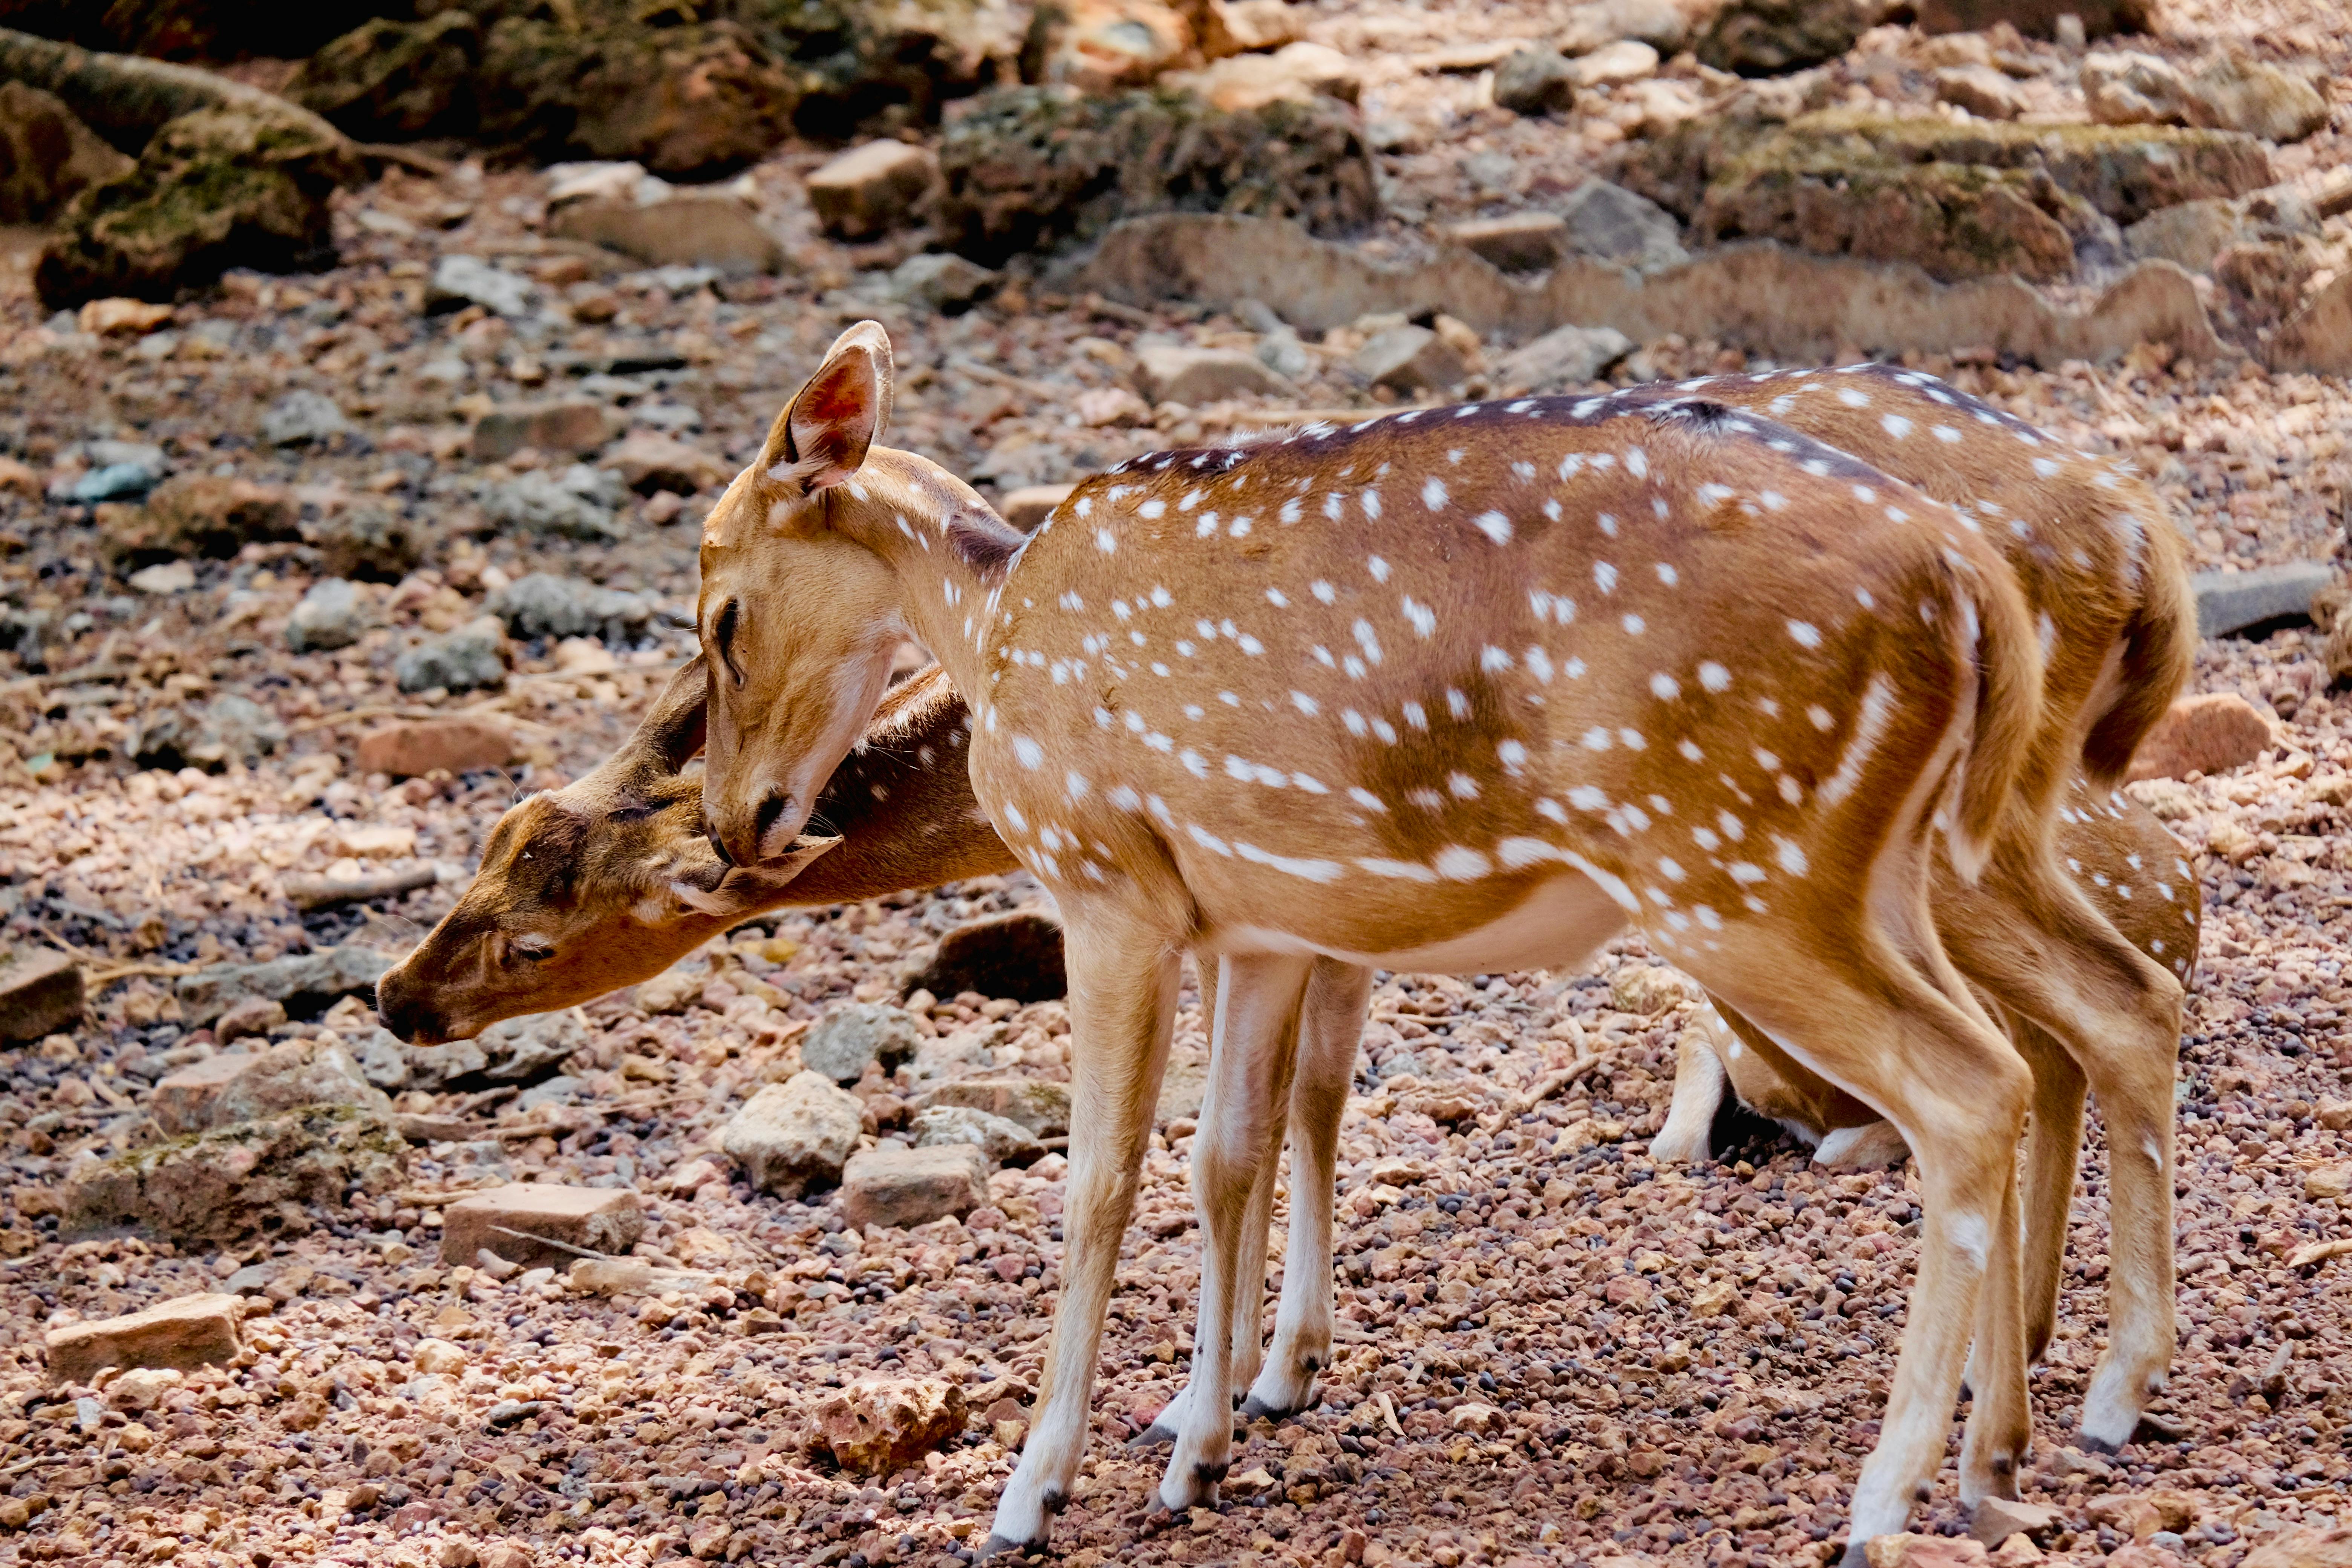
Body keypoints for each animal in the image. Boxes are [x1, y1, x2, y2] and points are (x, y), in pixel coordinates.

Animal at [691, 321, 2072, 1562]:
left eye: (721, 619)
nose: (730, 823)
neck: (988, 629)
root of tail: (1968, 579)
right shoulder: (1254, 925)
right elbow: (1227, 1157)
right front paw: (1201, 1443)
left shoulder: (1109, 886)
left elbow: (1101, 1184)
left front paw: (1031, 1497)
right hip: (1870, 869)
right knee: (2010, 1056)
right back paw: (1994, 1459)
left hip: (1734, 865)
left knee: (1969, 1086)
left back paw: (1884, 1504)